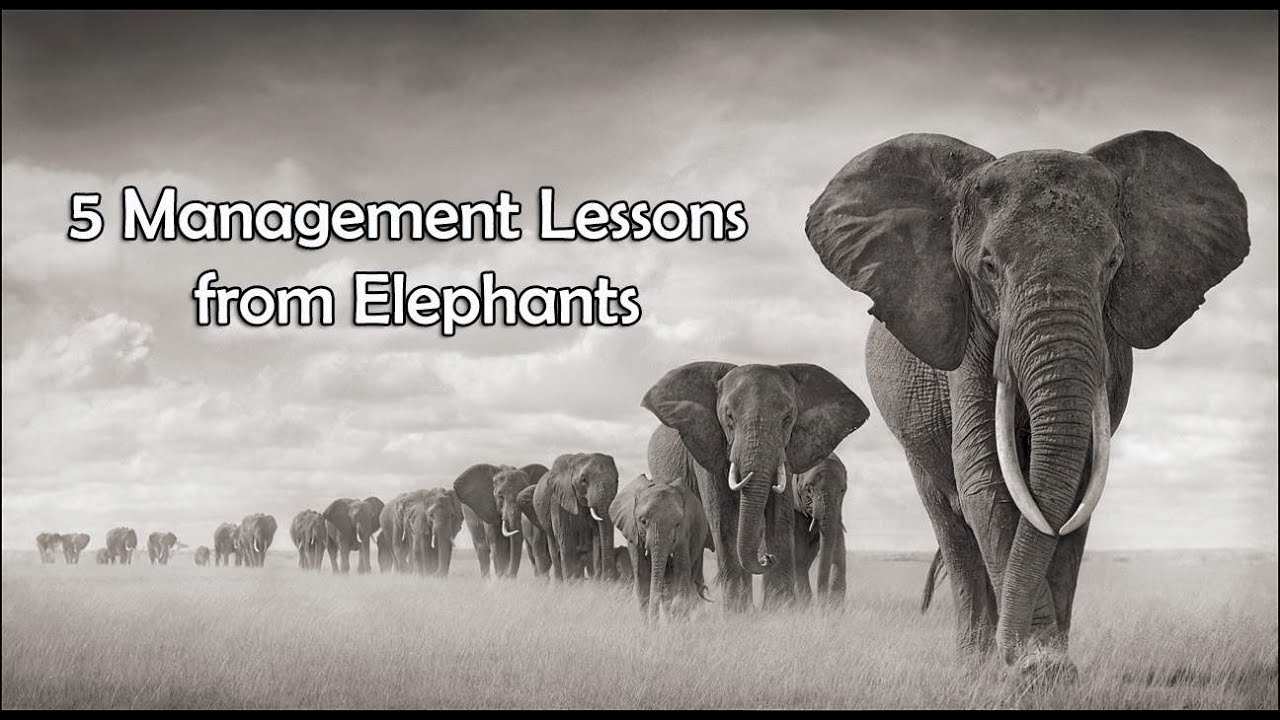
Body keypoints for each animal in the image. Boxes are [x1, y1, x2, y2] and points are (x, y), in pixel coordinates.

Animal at [531, 453, 620, 583]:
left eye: (617, 480)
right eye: (583, 480)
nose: (609, 580)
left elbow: (597, 541)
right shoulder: (559, 501)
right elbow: (566, 542)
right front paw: (572, 585)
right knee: (555, 550)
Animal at [611, 473, 713, 620]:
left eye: (677, 524)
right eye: (643, 521)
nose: (654, 623)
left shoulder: (684, 533)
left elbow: (681, 574)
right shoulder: (633, 532)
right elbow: (642, 577)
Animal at [805, 131, 1250, 673]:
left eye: (1112, 263)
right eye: (989, 266)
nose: (1020, 656)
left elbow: (1079, 483)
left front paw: (1046, 665)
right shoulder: (970, 335)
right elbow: (987, 477)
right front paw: (1034, 669)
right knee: (951, 523)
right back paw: (974, 661)